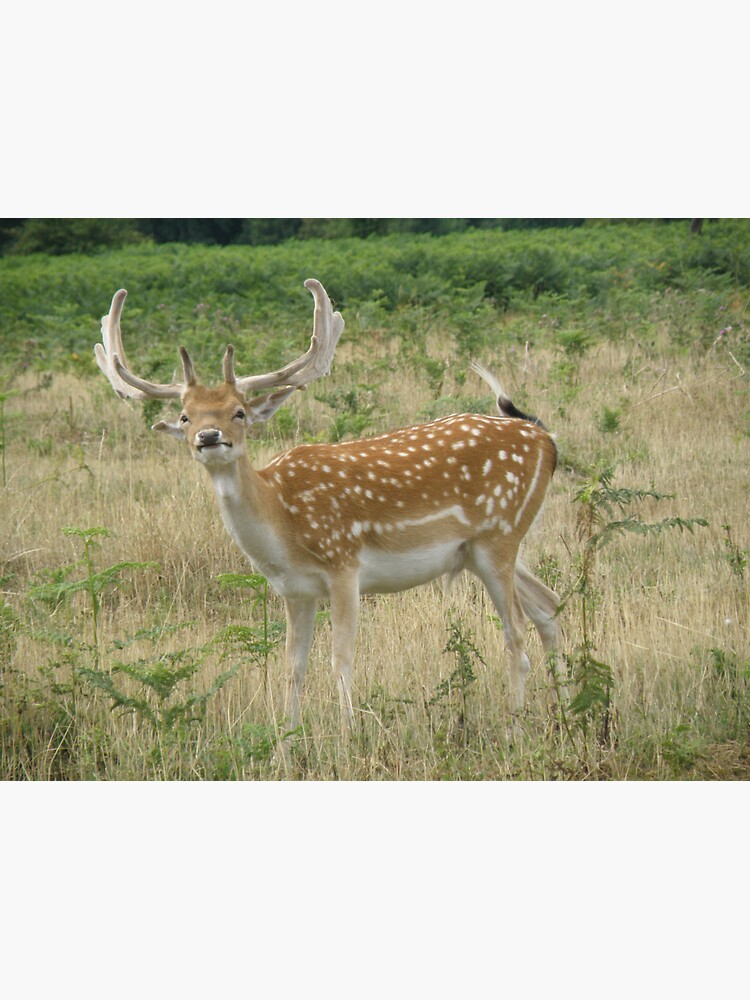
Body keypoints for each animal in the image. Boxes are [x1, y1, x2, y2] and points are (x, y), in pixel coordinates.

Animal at [95, 278, 565, 732]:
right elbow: (293, 667)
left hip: (499, 533)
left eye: (239, 412)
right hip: (481, 549)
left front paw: (349, 734)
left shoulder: (344, 564)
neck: (283, 519)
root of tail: (545, 439)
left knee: (516, 632)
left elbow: (341, 659)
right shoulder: (294, 590)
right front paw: (287, 737)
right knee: (548, 604)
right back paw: (562, 710)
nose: (209, 438)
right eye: (186, 416)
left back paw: (516, 727)